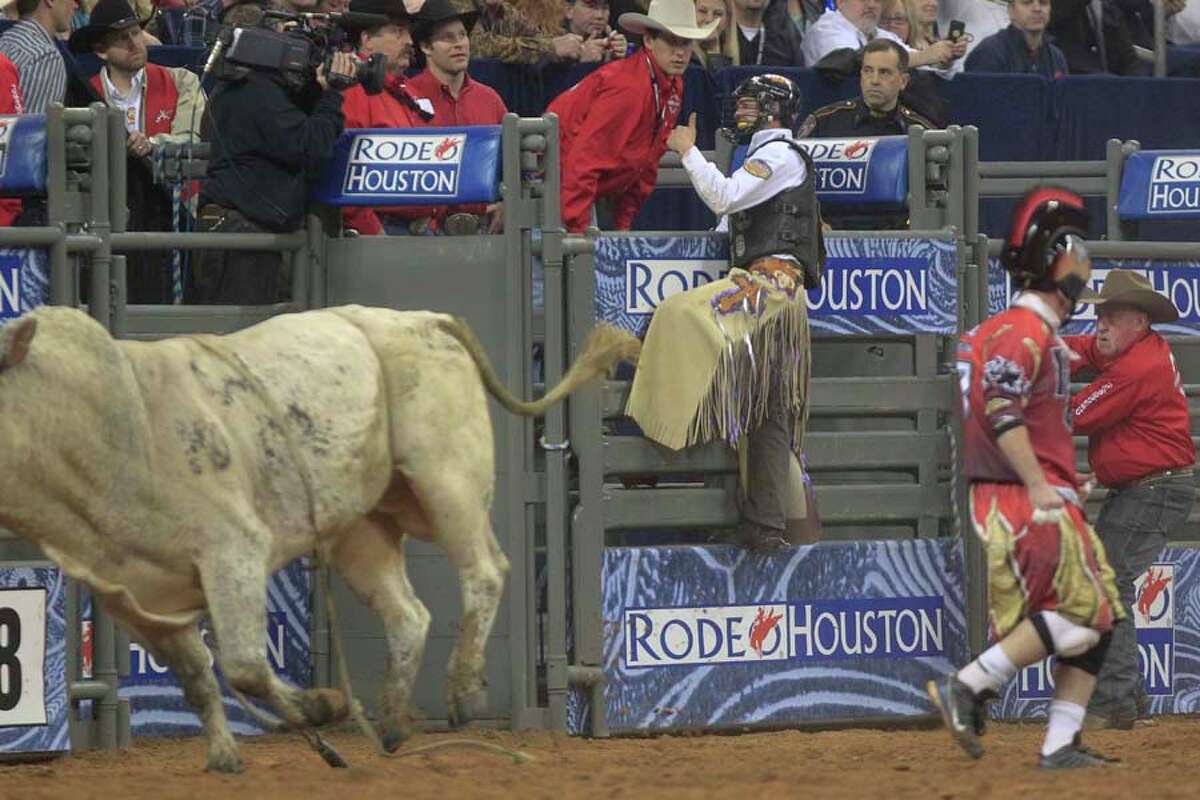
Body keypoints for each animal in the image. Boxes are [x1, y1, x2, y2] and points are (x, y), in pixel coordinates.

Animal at [0, 305, 640, 772]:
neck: (115, 418)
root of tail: (421, 318)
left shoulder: (233, 551)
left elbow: (243, 666)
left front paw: (320, 707)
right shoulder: (137, 601)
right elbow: (198, 676)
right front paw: (226, 755)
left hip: (448, 481)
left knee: (484, 571)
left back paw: (461, 692)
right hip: (361, 528)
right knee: (408, 614)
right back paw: (392, 722)